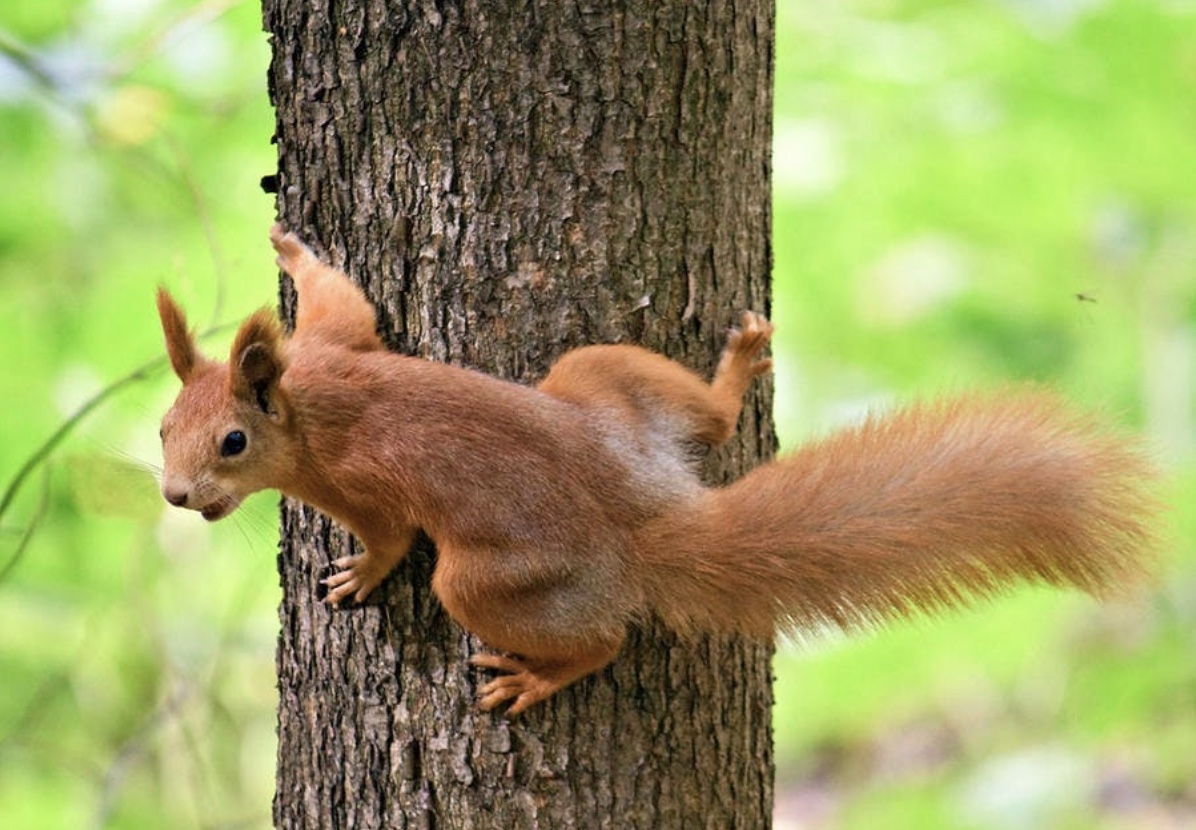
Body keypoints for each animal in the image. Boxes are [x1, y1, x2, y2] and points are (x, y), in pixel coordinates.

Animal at [156, 224, 1158, 715]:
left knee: (596, 639)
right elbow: (345, 297)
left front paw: (360, 573)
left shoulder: (361, 475)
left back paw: (538, 677)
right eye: (164, 427)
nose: (175, 495)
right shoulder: (335, 343)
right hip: (603, 383)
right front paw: (293, 250)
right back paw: (737, 369)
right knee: (704, 417)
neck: (308, 409)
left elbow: (390, 534)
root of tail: (644, 519)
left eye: (231, 445)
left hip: (494, 580)